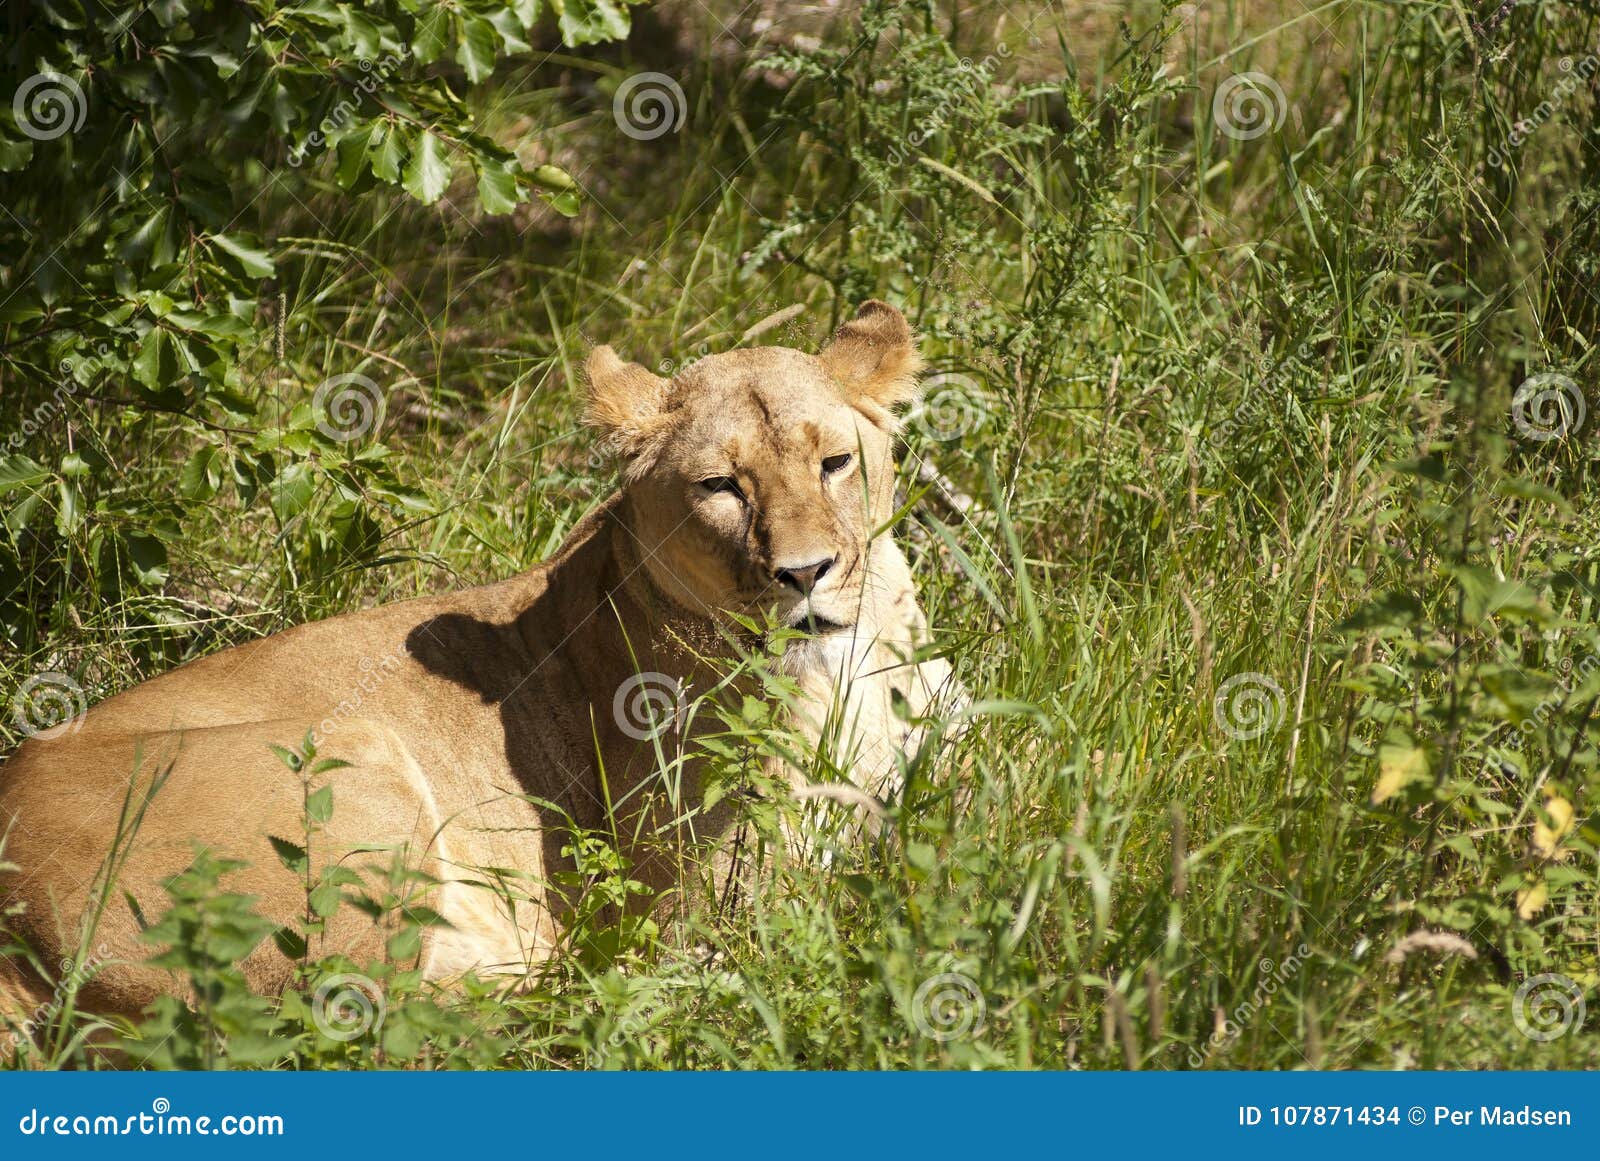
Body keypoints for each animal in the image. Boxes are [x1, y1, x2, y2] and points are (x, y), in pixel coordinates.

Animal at [0, 301, 962, 1025]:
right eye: (720, 487)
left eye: (835, 462)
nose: (804, 573)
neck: (849, 669)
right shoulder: (705, 900)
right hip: (356, 755)